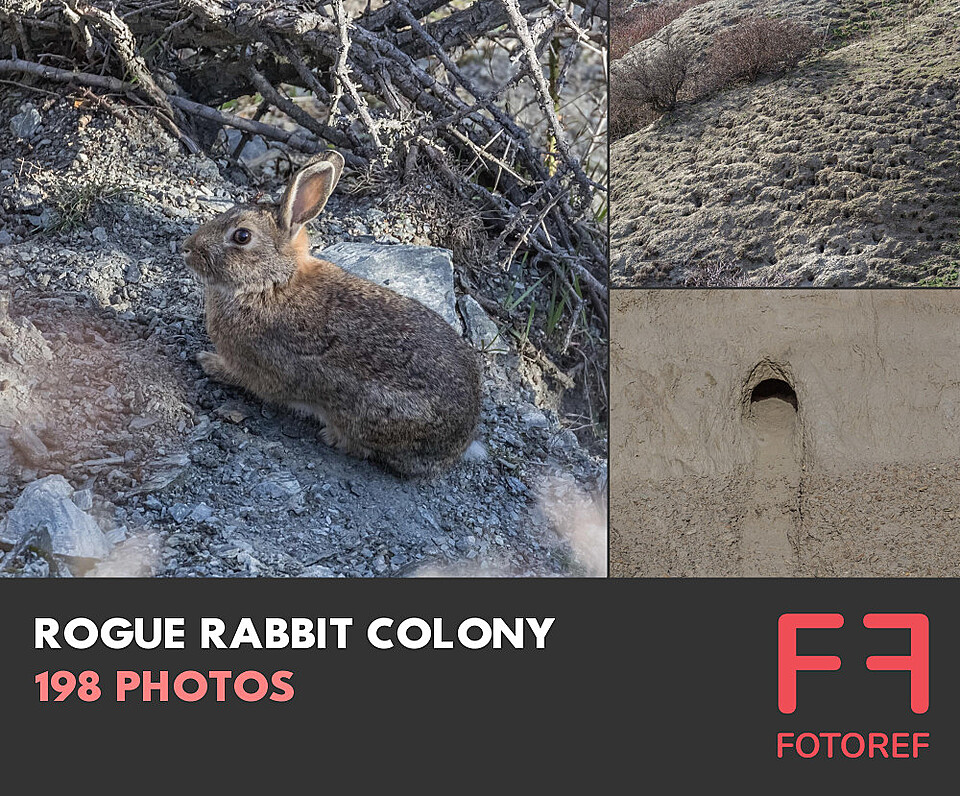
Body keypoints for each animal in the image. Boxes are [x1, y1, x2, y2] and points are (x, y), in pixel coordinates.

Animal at [181, 151, 482, 477]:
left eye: (242, 236)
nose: (187, 248)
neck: (270, 283)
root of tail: (460, 443)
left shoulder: (252, 367)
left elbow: (239, 376)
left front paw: (207, 361)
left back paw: (330, 436)